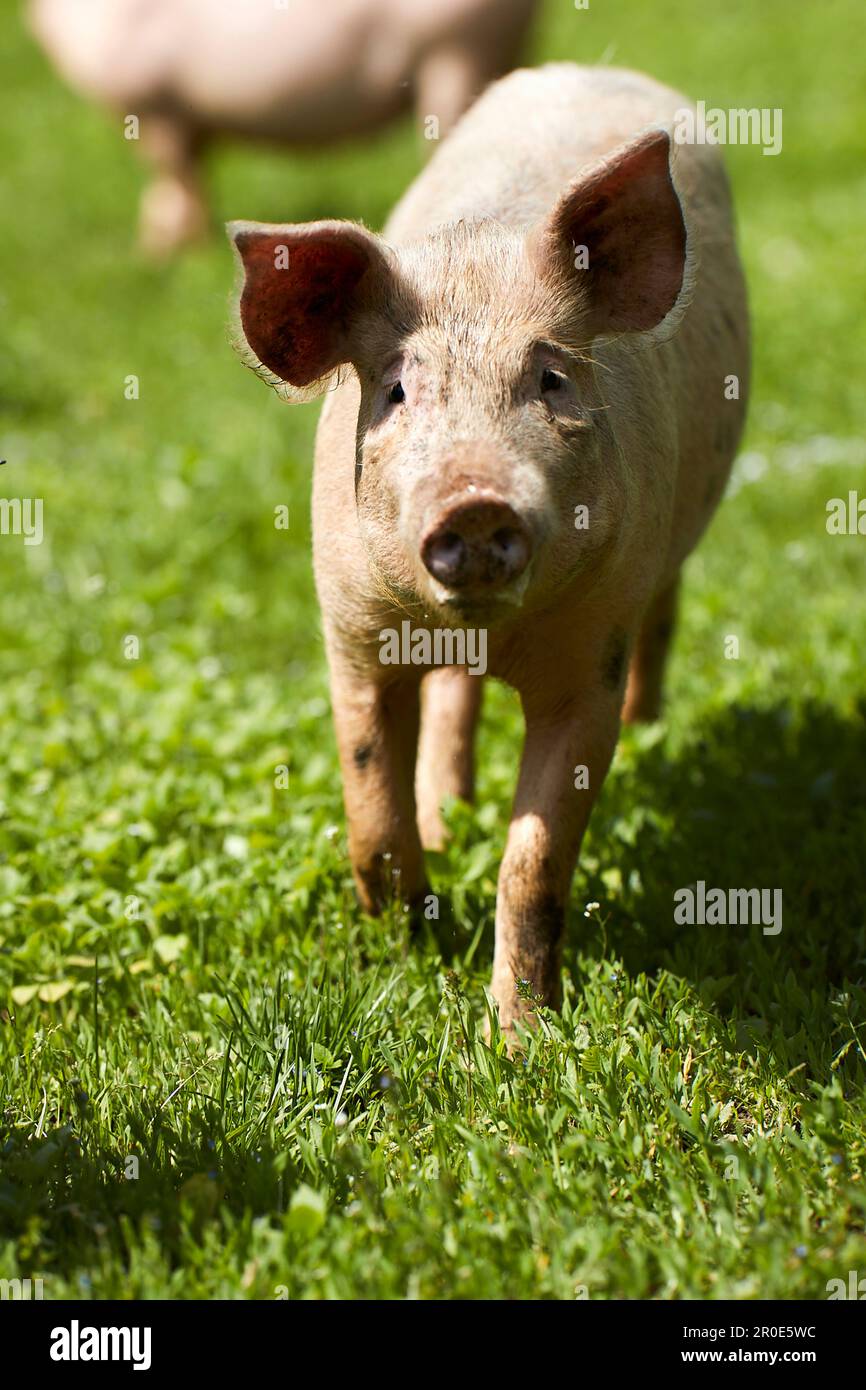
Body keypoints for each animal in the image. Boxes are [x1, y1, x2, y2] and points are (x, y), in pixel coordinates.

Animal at [229, 62, 750, 1032]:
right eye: (397, 391)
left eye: (550, 379)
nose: (474, 501)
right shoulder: (351, 629)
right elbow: (370, 810)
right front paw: (408, 946)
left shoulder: (592, 654)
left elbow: (534, 864)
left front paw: (519, 1038)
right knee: (451, 706)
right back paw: (448, 814)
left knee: (665, 611)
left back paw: (650, 736)